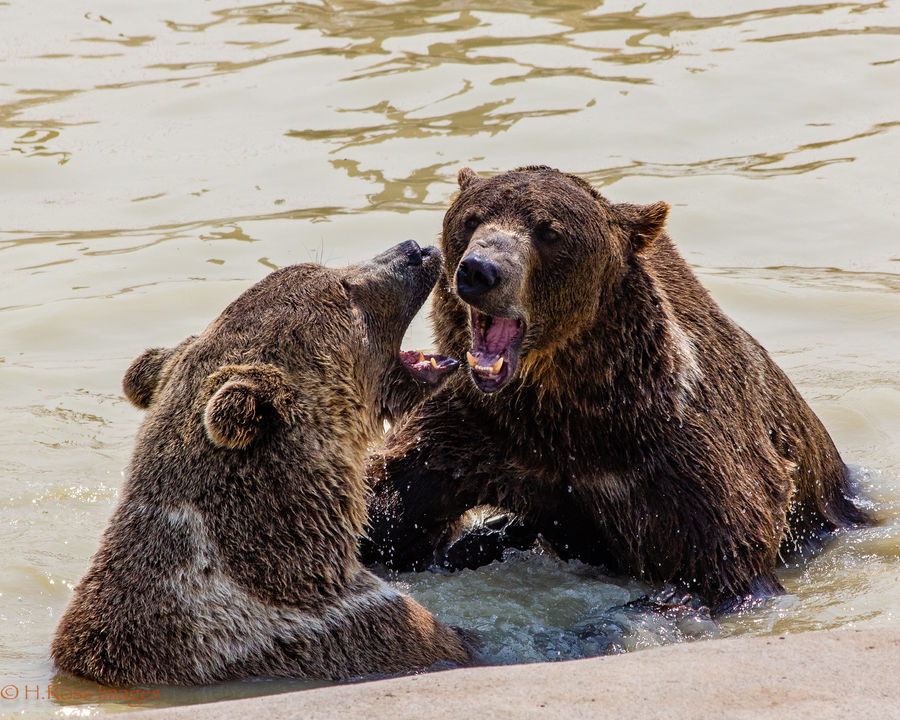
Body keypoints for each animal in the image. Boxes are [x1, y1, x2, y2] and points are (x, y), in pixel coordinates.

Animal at [361, 166, 871, 612]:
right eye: (470, 219)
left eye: (549, 232)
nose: (479, 271)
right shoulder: (476, 430)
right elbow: (388, 508)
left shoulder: (673, 453)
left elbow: (724, 558)